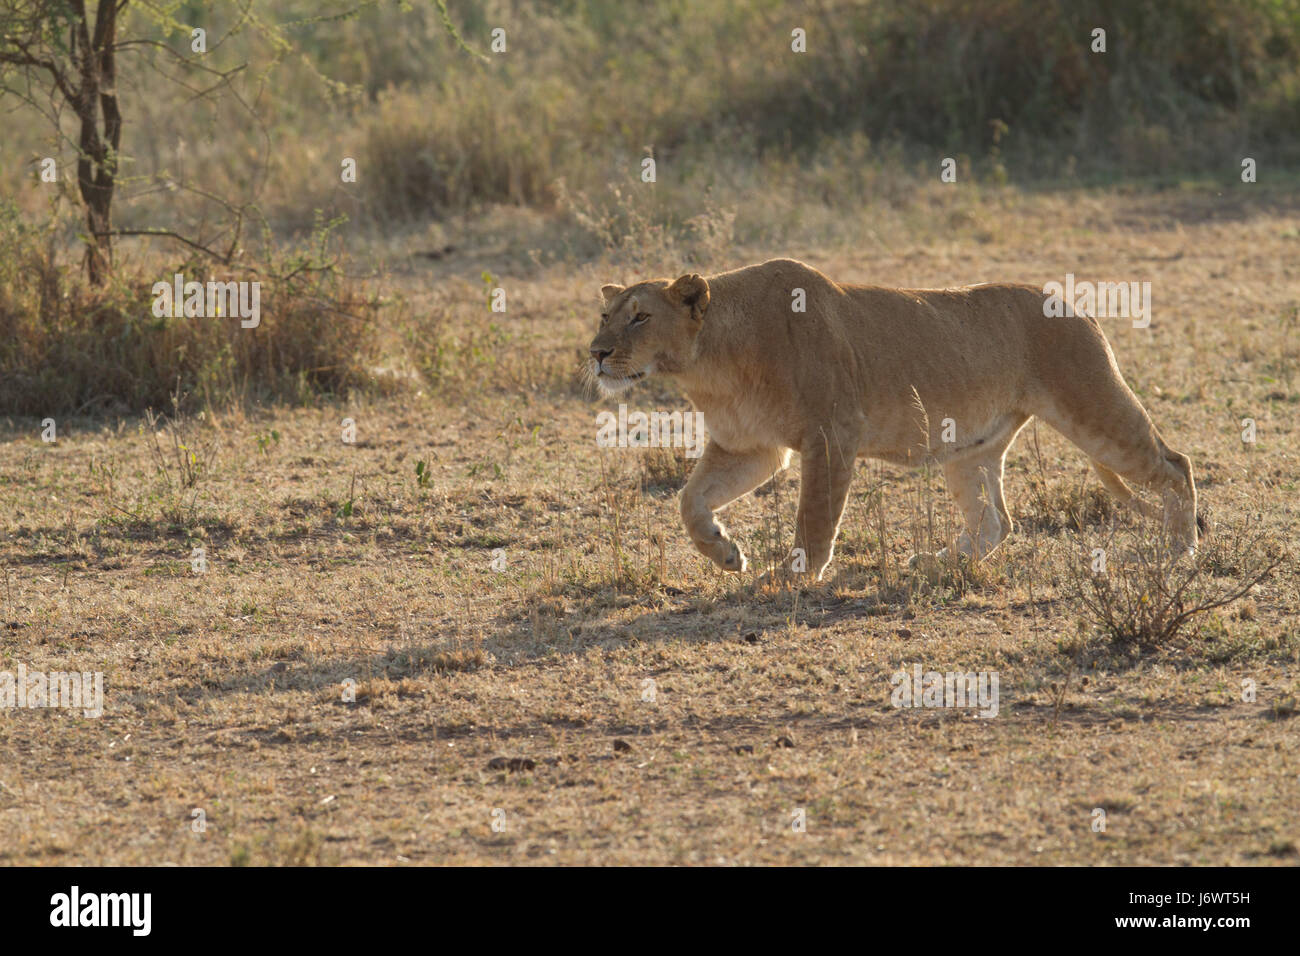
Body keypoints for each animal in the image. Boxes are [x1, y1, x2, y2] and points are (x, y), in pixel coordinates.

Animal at [588, 258, 1200, 580]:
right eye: (603, 315)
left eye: (640, 317)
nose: (596, 353)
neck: (709, 365)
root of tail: (1075, 305)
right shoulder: (750, 447)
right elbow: (689, 501)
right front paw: (725, 551)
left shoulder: (831, 434)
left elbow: (814, 517)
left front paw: (792, 575)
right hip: (970, 449)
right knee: (996, 522)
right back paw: (934, 564)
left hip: (1093, 407)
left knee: (1176, 464)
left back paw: (1182, 548)